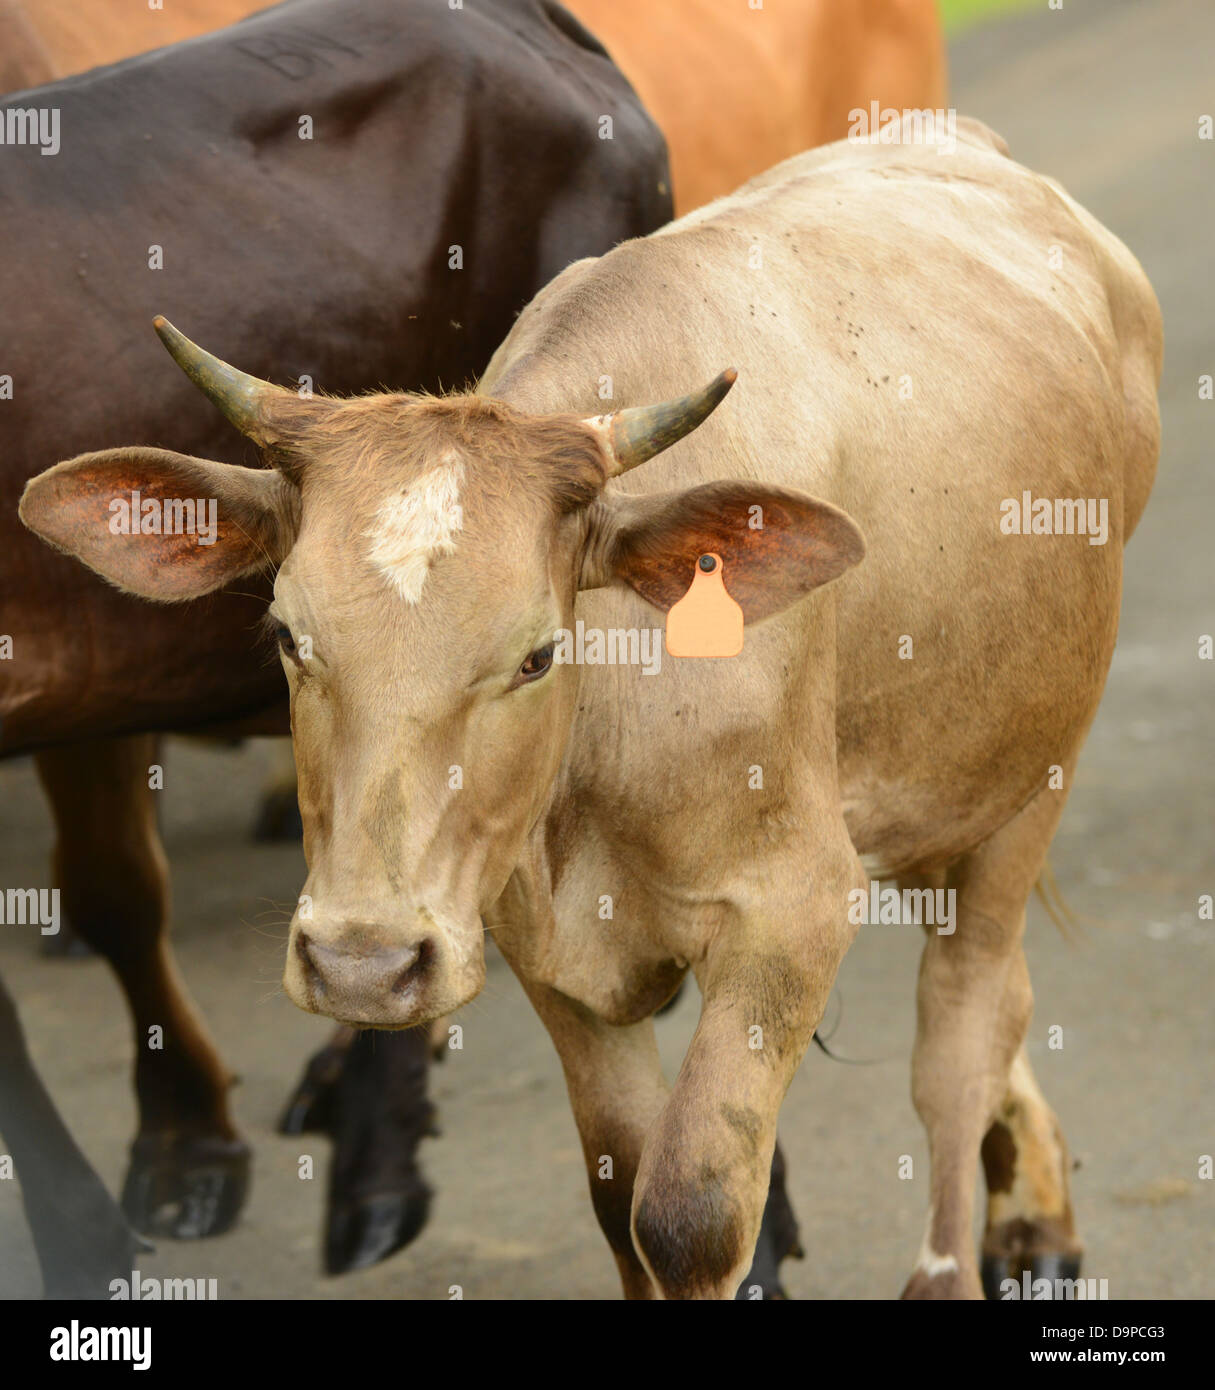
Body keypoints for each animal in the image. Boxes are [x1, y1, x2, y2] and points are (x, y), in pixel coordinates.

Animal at [22, 117, 1163, 1298]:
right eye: (289, 636)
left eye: (536, 655)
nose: (360, 966)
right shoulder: (543, 948)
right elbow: (621, 1202)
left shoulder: (794, 910)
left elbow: (690, 1212)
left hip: (1029, 781)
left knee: (963, 1032)